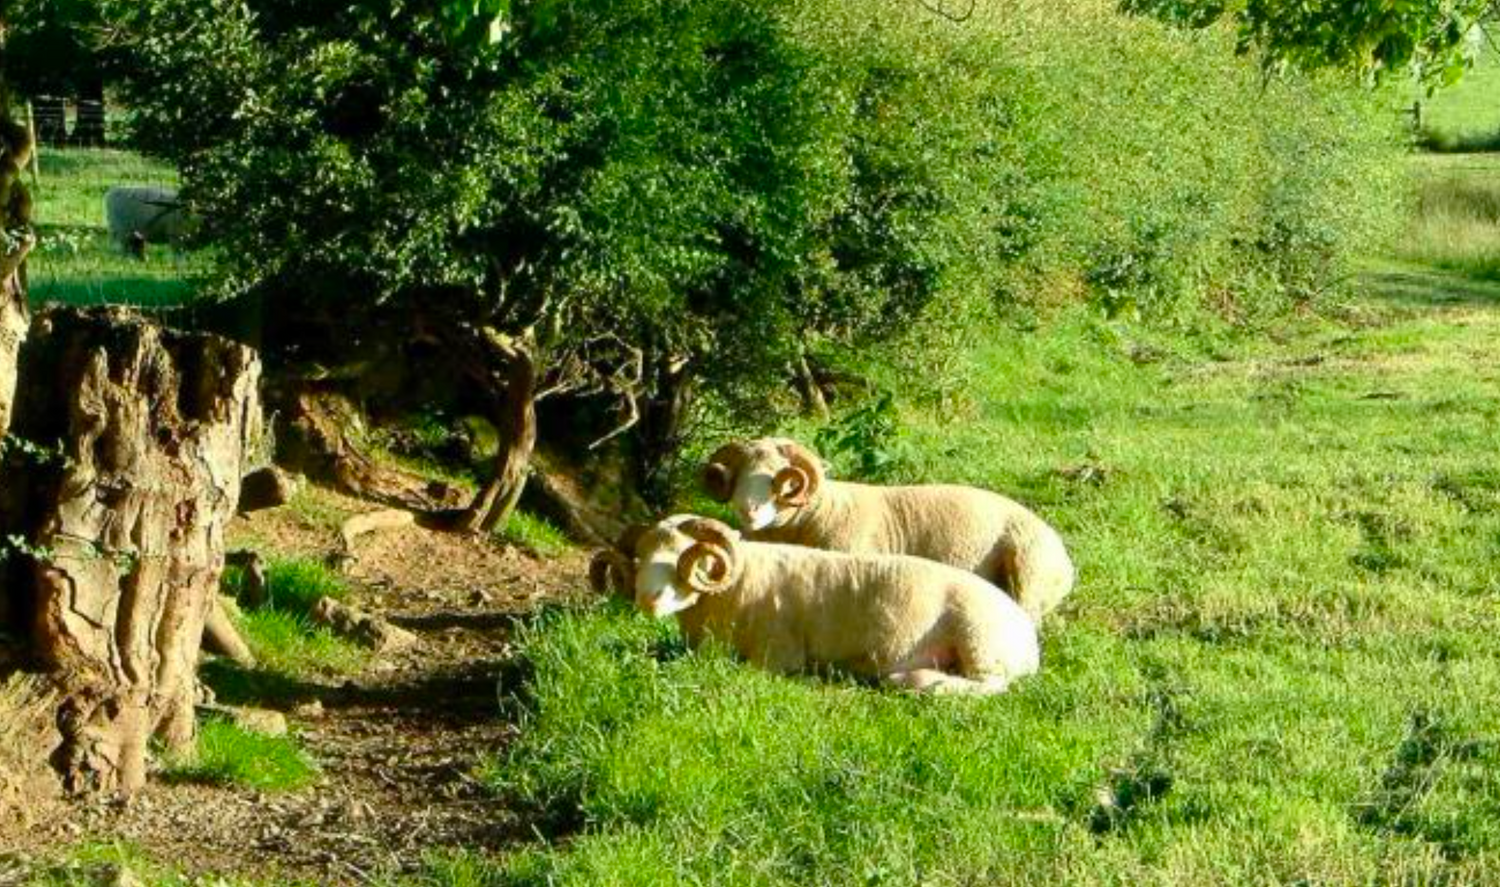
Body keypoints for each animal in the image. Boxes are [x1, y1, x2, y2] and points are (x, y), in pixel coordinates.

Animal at [600, 515, 1040, 695]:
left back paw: (917, 682)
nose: (648, 599)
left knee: (991, 686)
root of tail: (1030, 641)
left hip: (978, 640)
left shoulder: (777, 657)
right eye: (639, 558)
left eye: (686, 556)